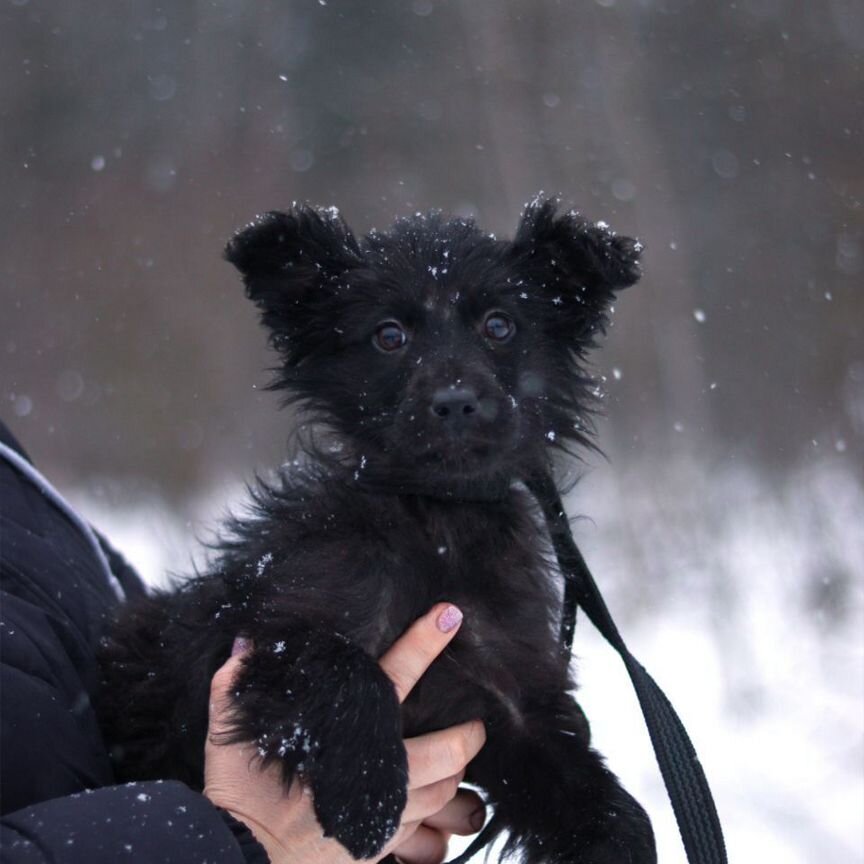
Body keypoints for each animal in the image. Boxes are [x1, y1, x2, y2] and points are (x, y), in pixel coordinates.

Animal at [98, 197, 656, 864]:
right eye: (390, 336)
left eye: (500, 325)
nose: (455, 401)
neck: (438, 523)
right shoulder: (273, 632)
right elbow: (344, 668)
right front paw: (369, 793)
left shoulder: (513, 704)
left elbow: (605, 803)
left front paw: (622, 838)